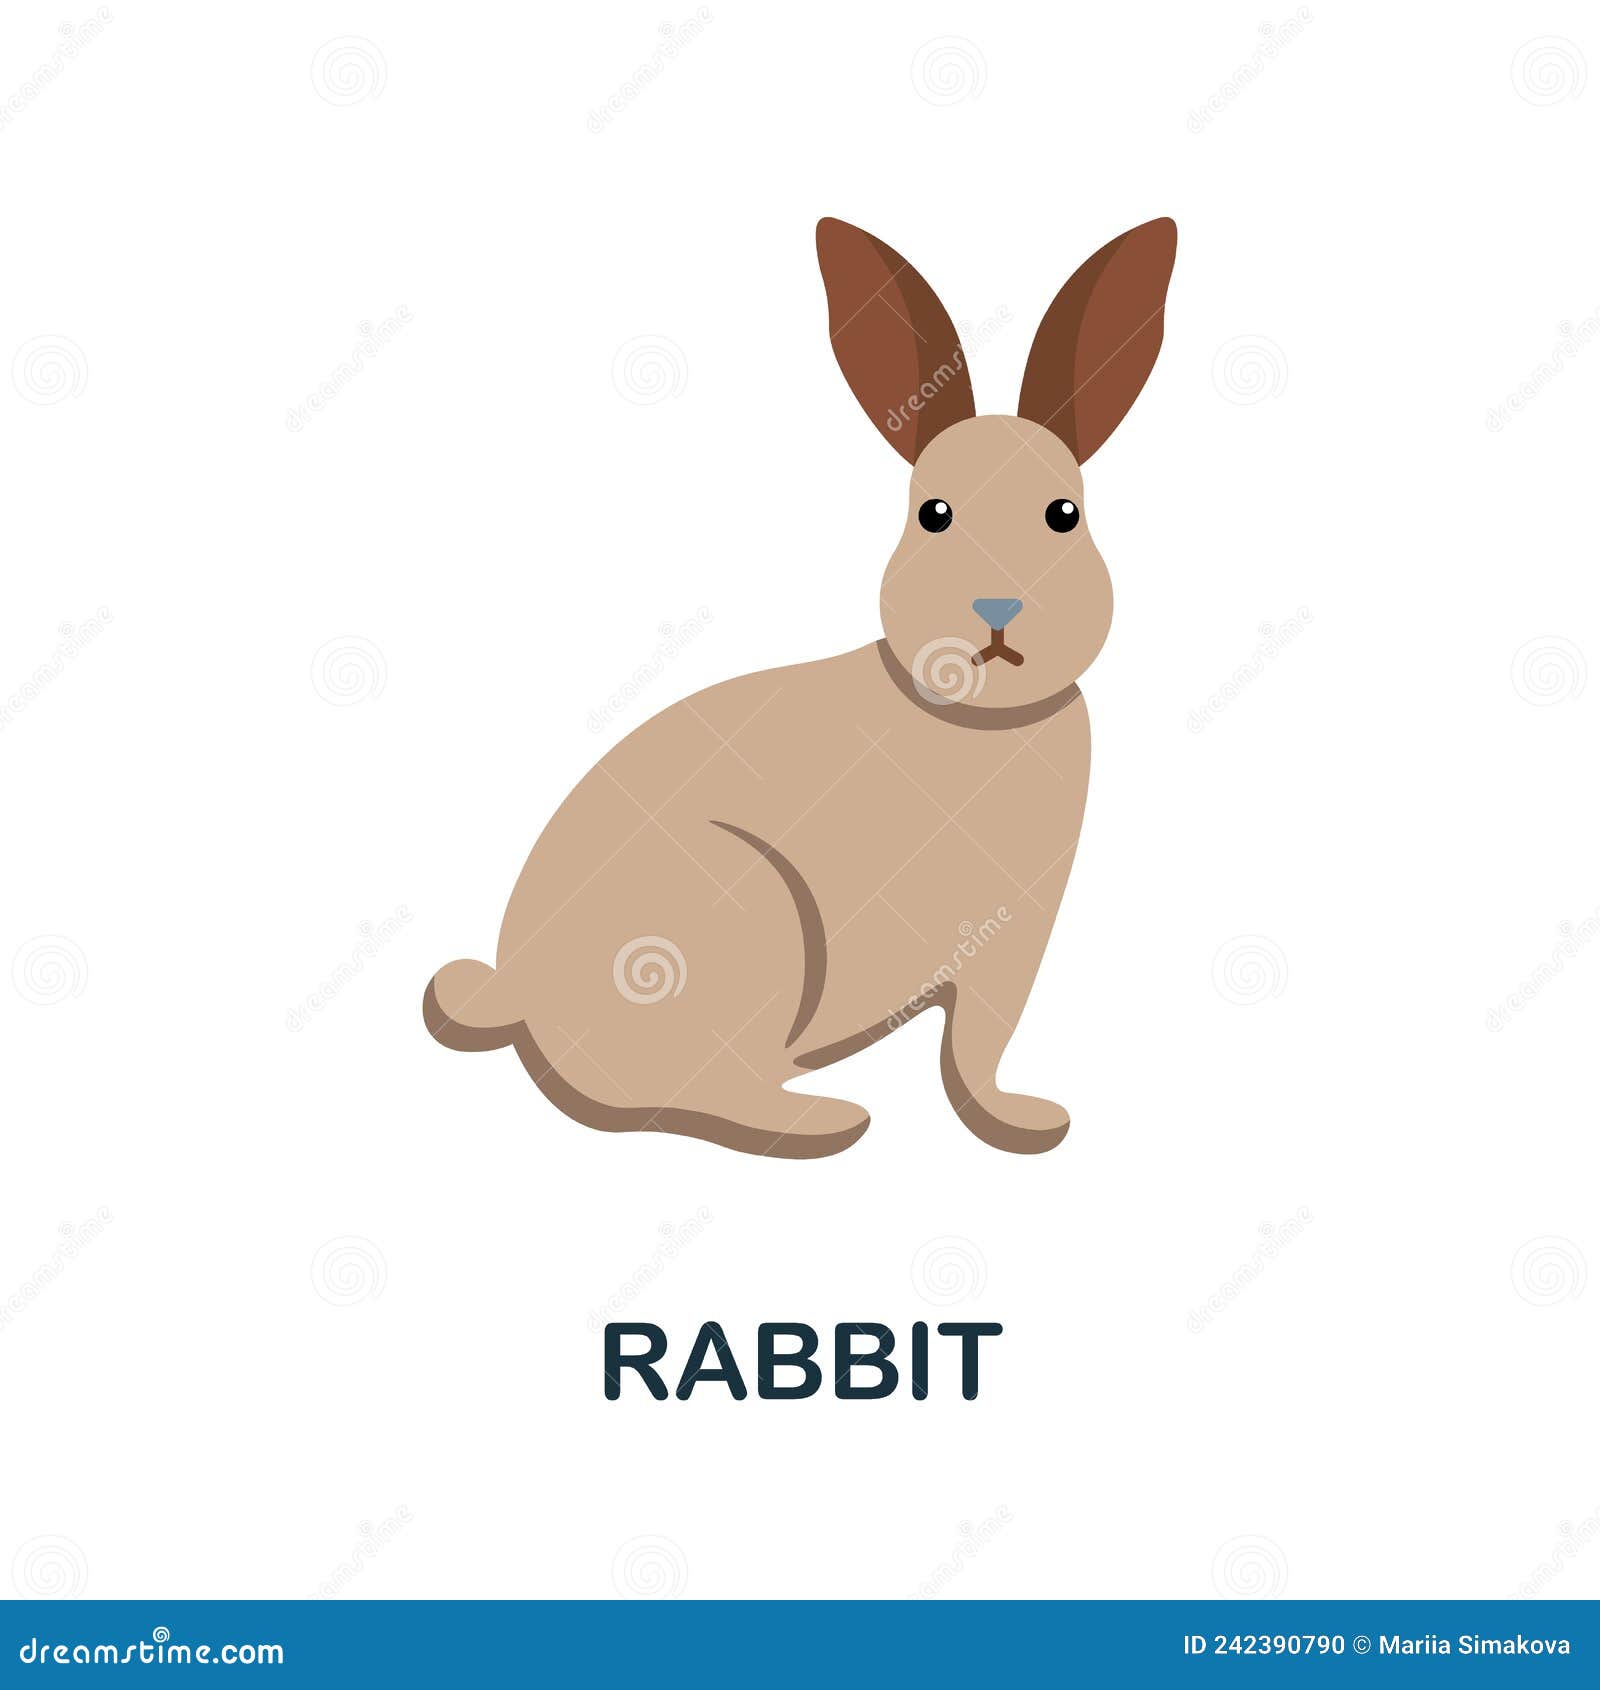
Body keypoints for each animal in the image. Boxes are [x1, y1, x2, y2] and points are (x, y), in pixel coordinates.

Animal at [426, 215, 1177, 1158]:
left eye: (1064, 516)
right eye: (933, 515)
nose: (997, 607)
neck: (968, 717)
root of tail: (517, 987)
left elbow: (976, 1051)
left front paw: (1018, 1120)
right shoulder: (1006, 955)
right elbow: (977, 1050)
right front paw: (1028, 1123)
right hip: (740, 921)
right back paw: (821, 1121)